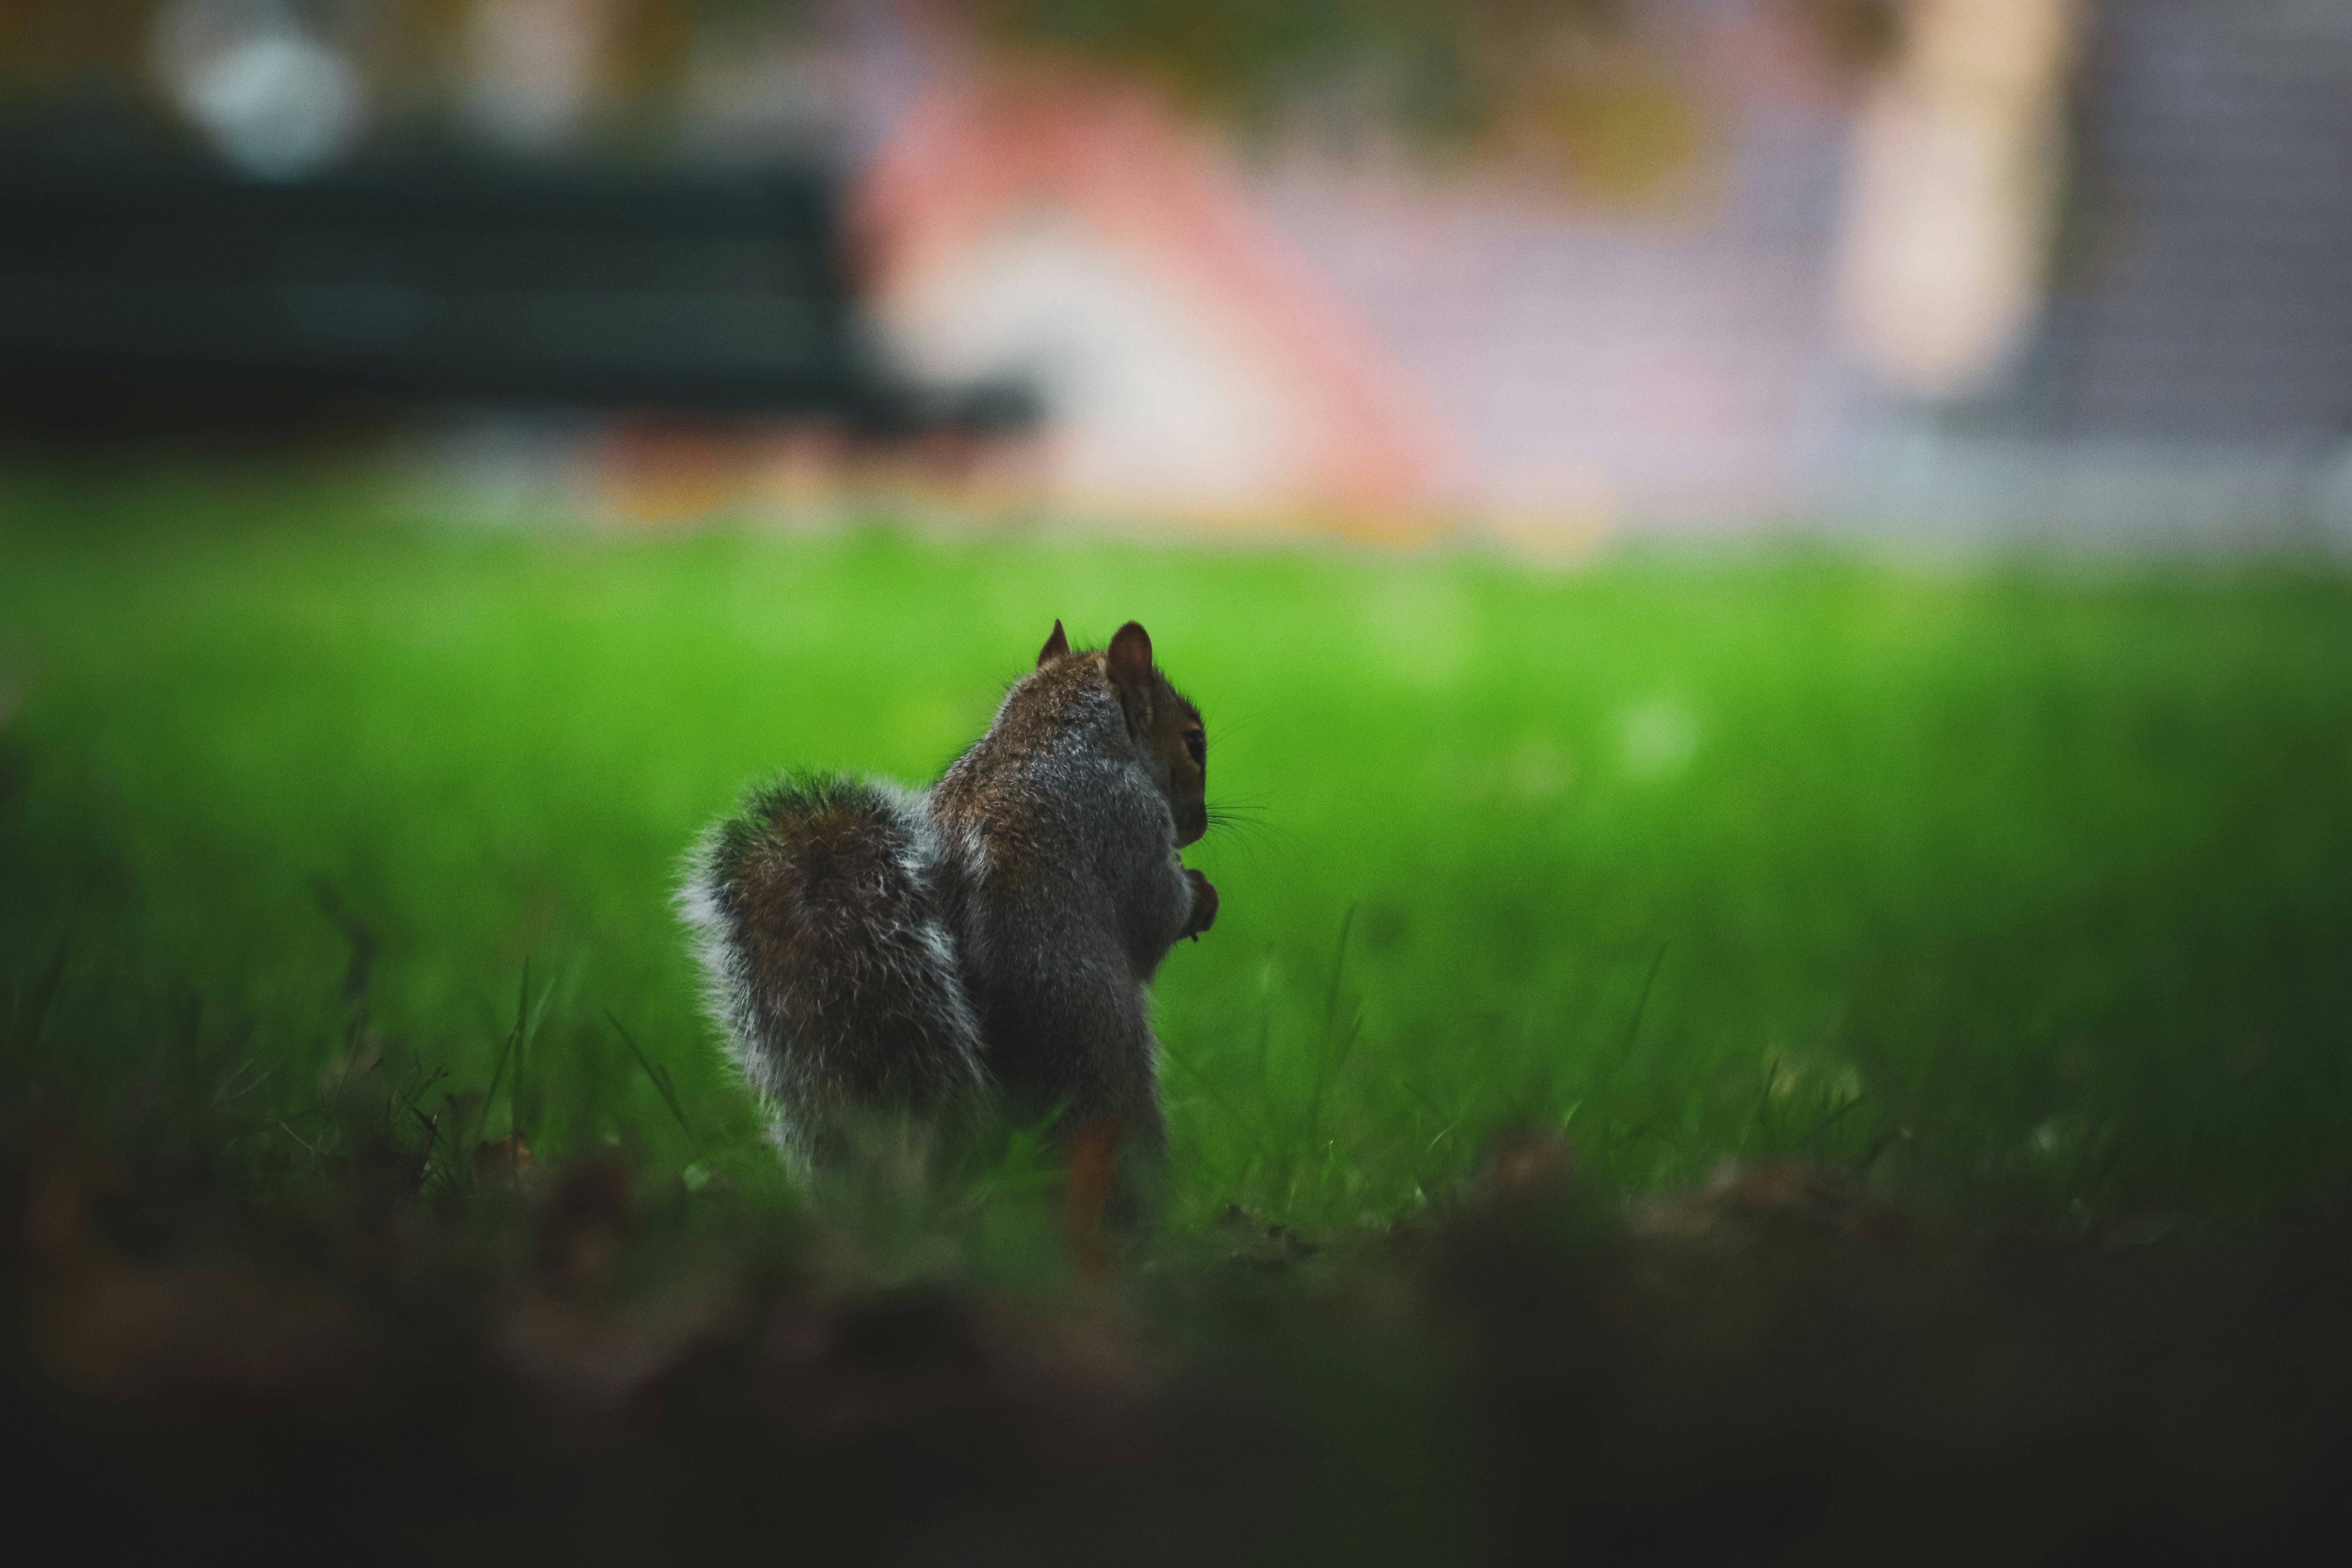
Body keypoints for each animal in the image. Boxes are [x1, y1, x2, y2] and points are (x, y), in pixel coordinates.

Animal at [679, 619, 1216, 1199]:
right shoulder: (1126, 817)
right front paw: (1198, 896)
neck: (1046, 732)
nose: (1199, 824)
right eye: (1194, 742)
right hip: (1103, 1075)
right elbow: (1153, 913)